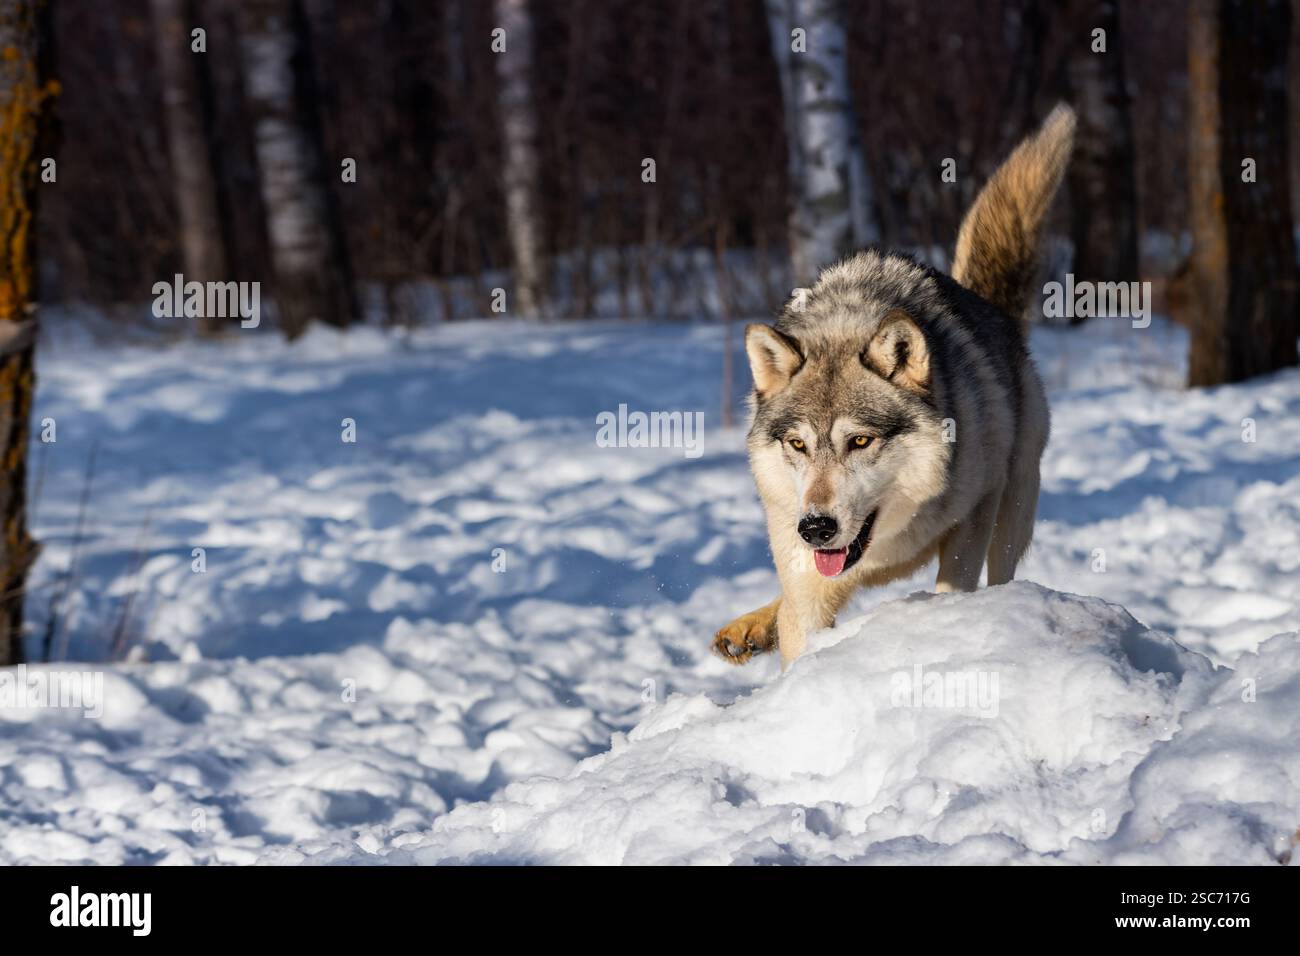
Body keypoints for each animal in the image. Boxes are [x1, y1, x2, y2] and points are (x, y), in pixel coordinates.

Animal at [713, 105, 1075, 670]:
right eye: (797, 444)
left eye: (860, 440)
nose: (816, 527)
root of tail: (987, 306)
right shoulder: (805, 566)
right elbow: (801, 627)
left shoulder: (975, 515)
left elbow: (955, 587)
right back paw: (750, 627)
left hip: (1013, 513)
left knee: (1002, 575)